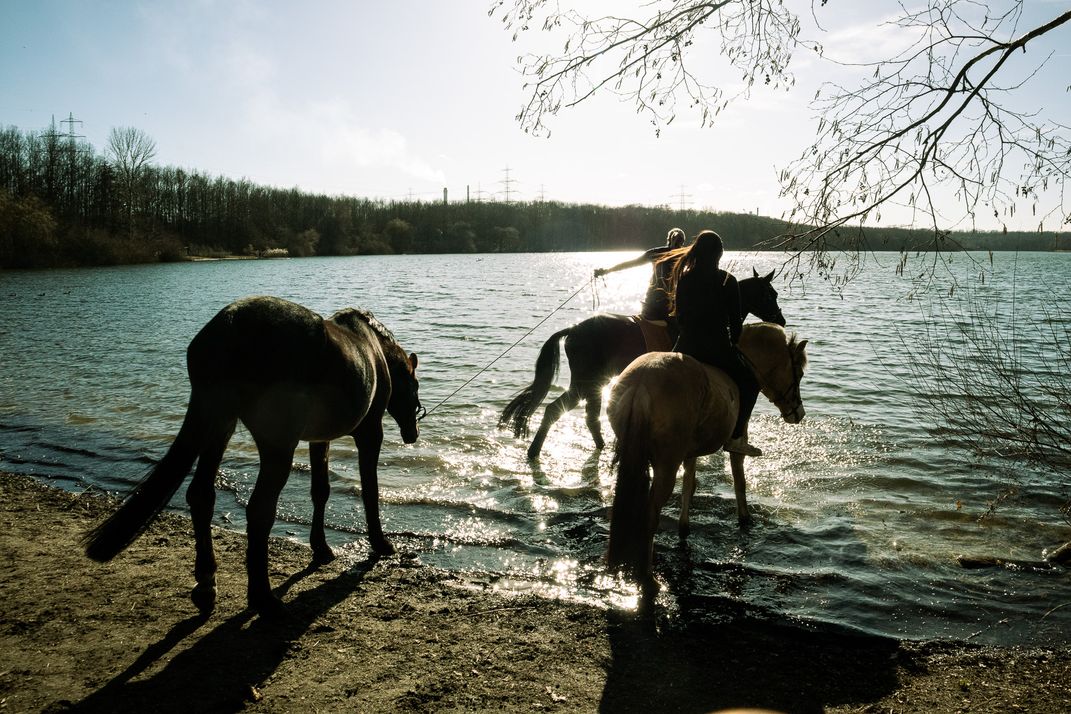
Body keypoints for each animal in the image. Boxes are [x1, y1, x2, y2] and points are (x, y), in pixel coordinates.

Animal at [83, 296, 423, 618]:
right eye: (415, 387)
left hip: (219, 425)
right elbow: (369, 490)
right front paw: (380, 543)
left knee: (202, 496)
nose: (413, 433)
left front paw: (321, 548)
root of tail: (228, 326)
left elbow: (320, 492)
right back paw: (264, 599)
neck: (373, 350)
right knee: (259, 510)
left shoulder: (319, 438)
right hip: (276, 444)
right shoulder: (370, 434)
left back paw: (207, 584)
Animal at [501, 269, 785, 460]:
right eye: (770, 294)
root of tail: (574, 329)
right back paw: (535, 450)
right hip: (585, 382)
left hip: (595, 382)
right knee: (555, 410)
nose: (781, 319)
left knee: (590, 417)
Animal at [605, 322, 808, 586]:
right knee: (650, 516)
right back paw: (648, 577)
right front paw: (745, 519)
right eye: (799, 373)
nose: (798, 413)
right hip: (666, 464)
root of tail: (641, 383)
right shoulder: (736, 440)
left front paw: (684, 528)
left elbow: (689, 485)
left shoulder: (689, 452)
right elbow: (739, 480)